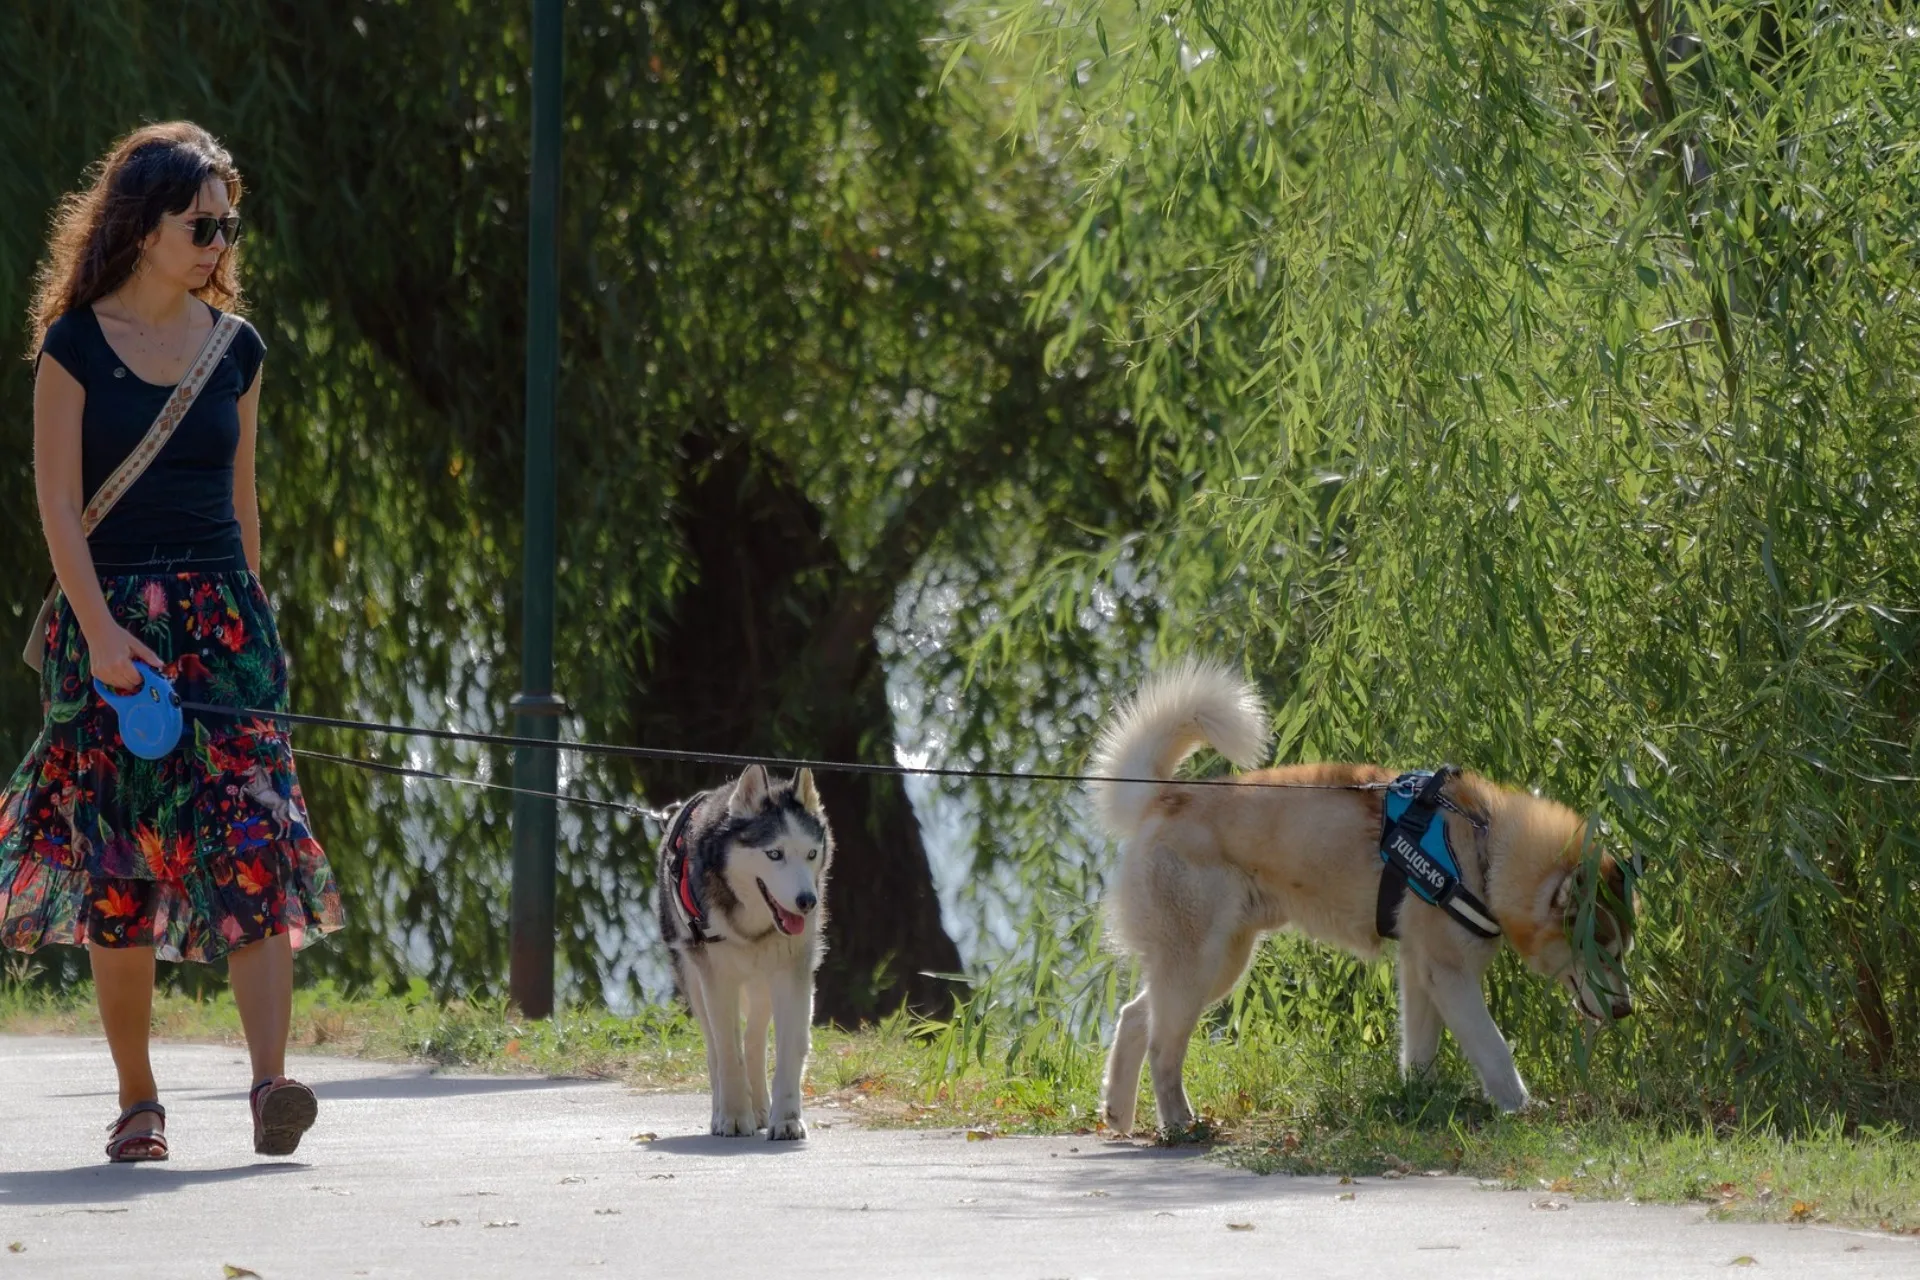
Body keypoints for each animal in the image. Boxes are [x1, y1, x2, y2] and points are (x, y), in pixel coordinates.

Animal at [1098, 660, 1635, 1128]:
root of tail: (1166, 796)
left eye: (1622, 950)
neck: (1484, 850)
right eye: (1596, 948)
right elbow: (1495, 1051)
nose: (1626, 1010)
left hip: (1215, 966)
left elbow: (1418, 1052)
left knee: (1134, 1017)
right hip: (1200, 965)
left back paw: (1119, 1117)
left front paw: (1420, 1100)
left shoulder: (1421, 971)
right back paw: (1178, 1124)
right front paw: (1521, 1109)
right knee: (1162, 1050)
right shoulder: (1450, 975)